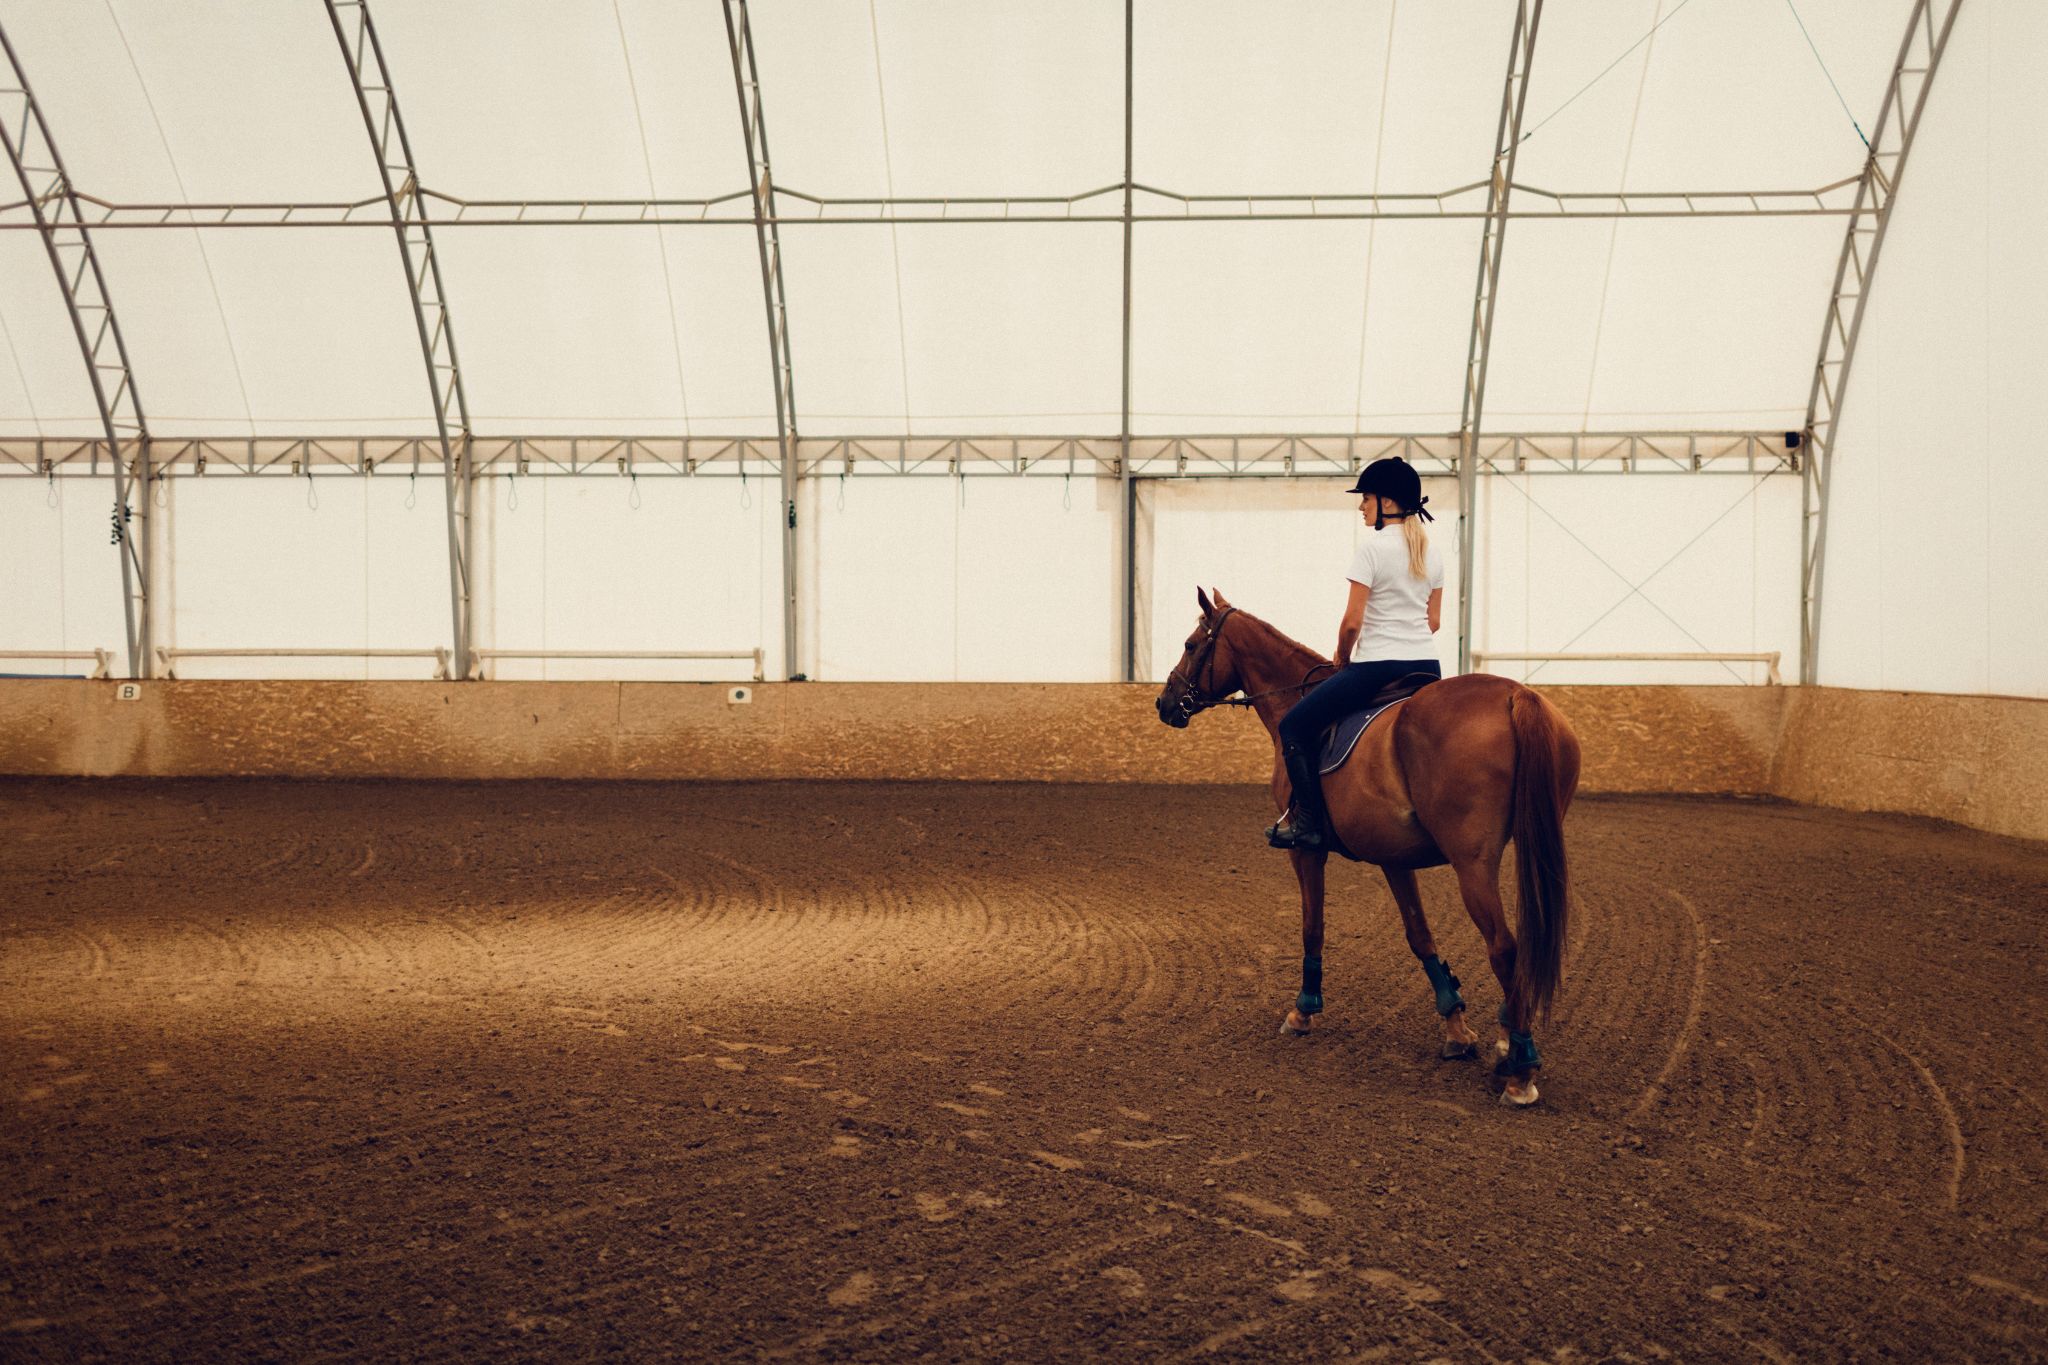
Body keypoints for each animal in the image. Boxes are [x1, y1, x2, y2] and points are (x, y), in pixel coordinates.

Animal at [1154, 588, 1580, 1106]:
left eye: (1192, 644)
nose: (1165, 702)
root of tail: (1517, 695)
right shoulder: (1393, 857)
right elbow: (1420, 937)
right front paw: (1456, 1029)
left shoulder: (1305, 850)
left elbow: (1312, 927)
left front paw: (1303, 1010)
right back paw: (1509, 1047)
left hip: (1472, 864)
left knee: (1503, 947)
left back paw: (1521, 1070)